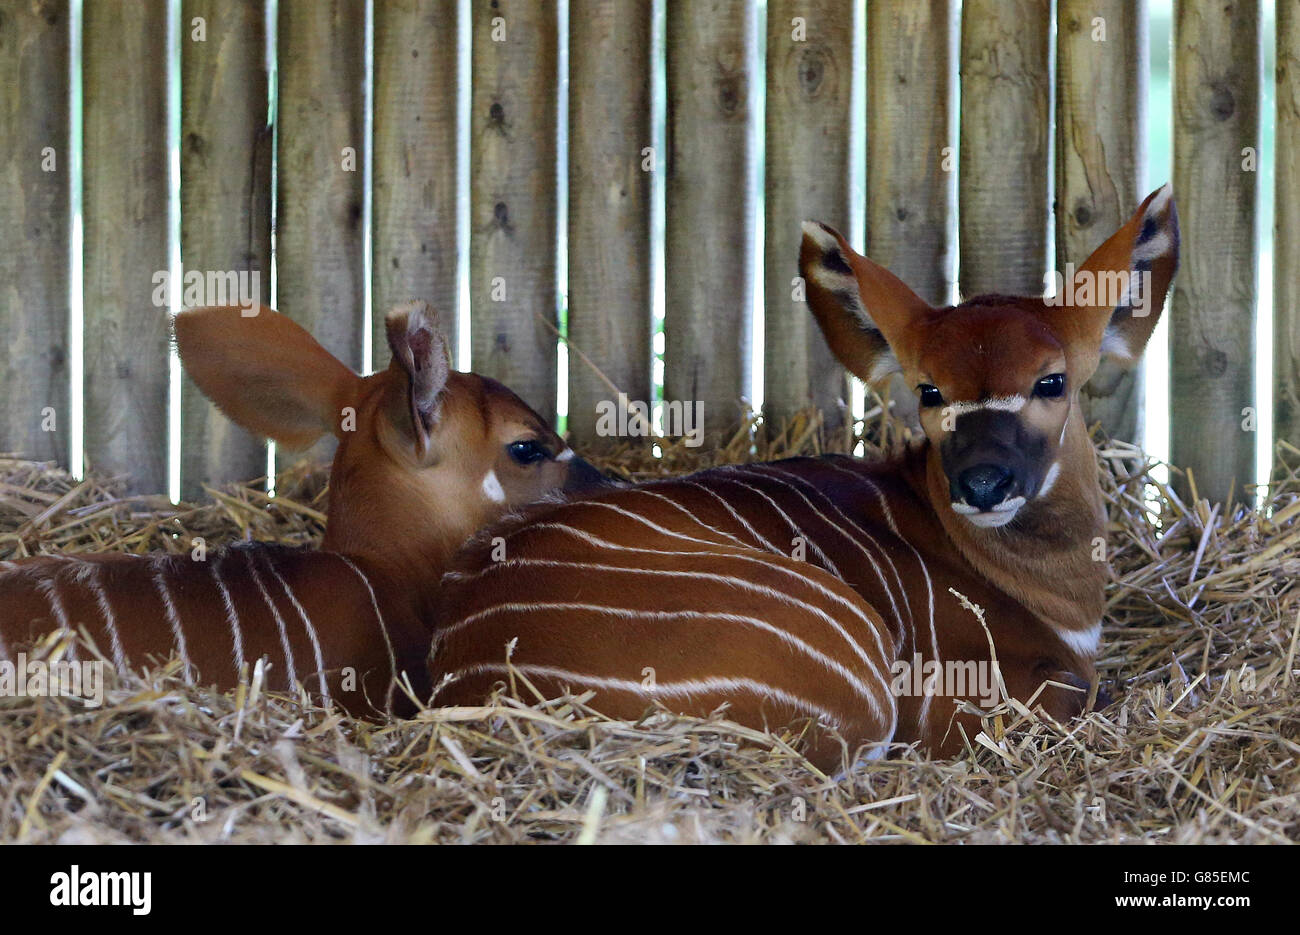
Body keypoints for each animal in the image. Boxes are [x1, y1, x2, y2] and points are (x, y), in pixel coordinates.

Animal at [428, 187, 1179, 768]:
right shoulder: (958, 693)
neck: (1059, 601)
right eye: (929, 390)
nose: (984, 483)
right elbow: (1081, 691)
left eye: (1053, 381)